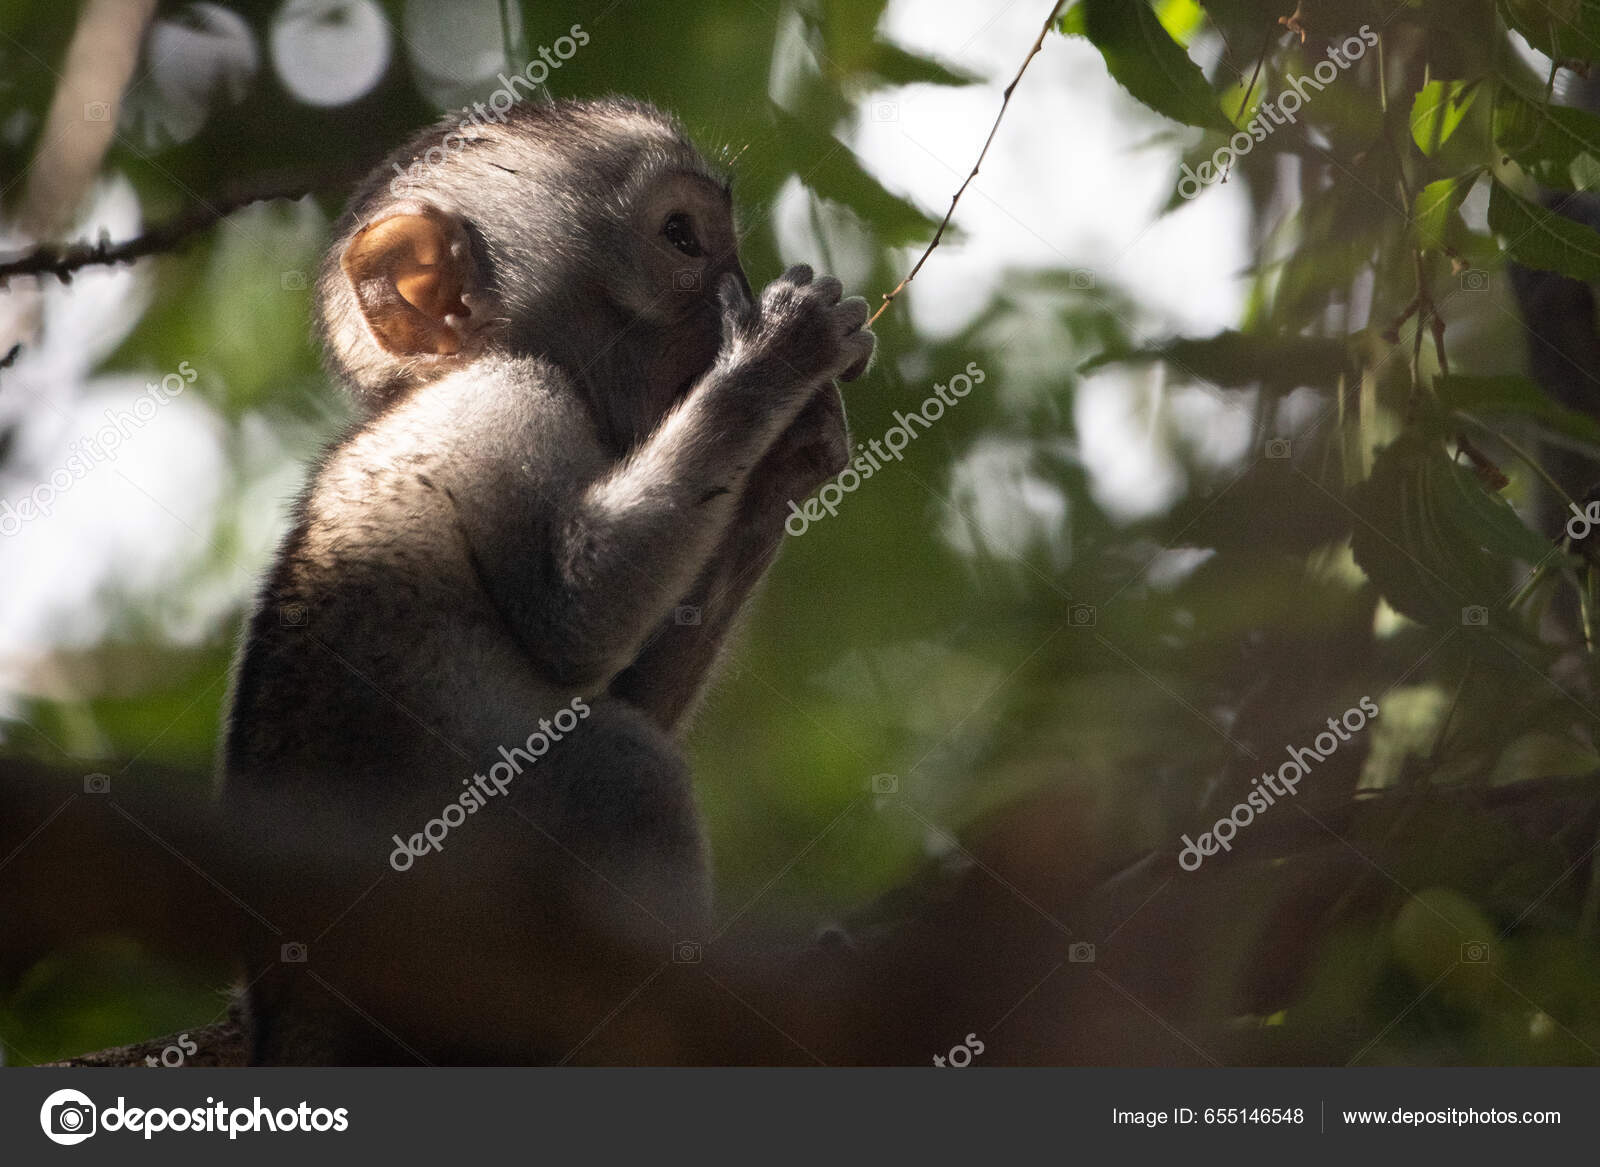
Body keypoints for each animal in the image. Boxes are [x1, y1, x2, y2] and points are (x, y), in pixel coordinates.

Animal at [218, 97, 874, 1064]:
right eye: (684, 238)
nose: (742, 293)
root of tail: (301, 1009)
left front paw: (793, 453)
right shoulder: (506, 403)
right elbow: (575, 620)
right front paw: (776, 361)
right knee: (623, 767)